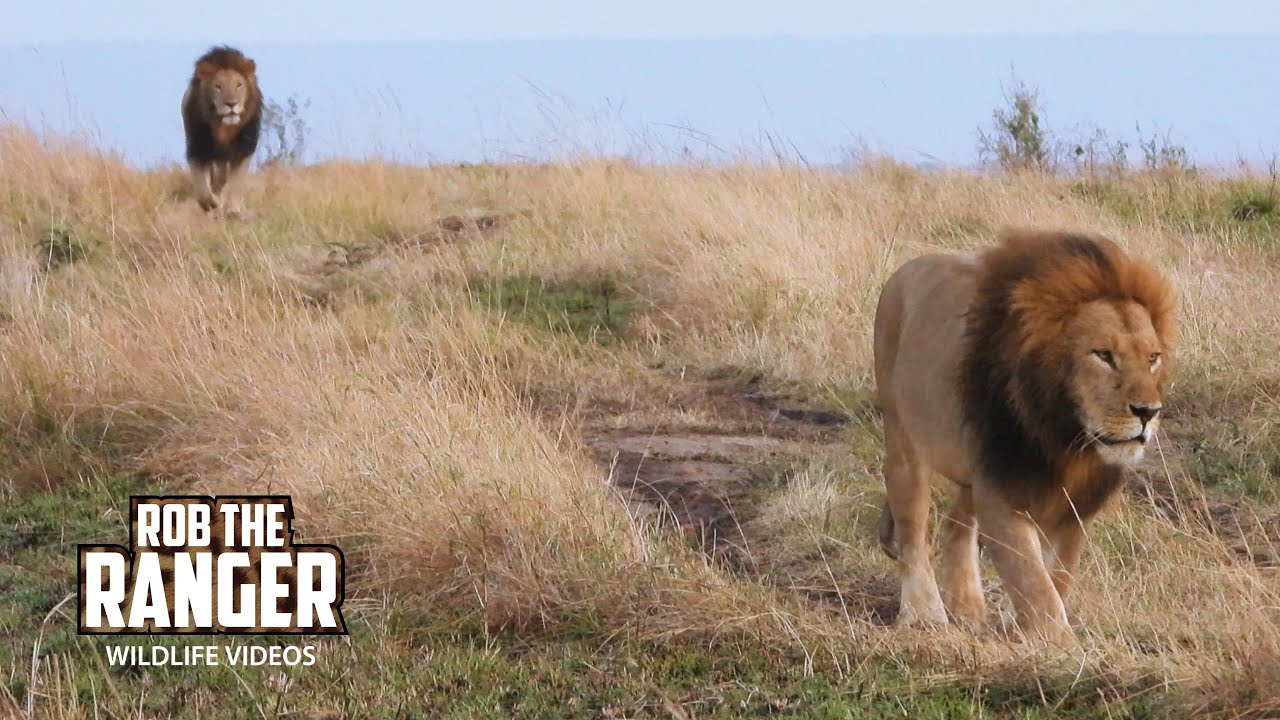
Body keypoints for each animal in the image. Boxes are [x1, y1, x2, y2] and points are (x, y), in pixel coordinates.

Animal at [181, 46, 262, 217]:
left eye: (239, 85)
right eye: (218, 87)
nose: (231, 104)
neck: (224, 129)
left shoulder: (244, 149)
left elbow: (237, 181)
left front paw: (232, 209)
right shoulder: (197, 150)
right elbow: (202, 188)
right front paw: (211, 204)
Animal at [872, 229, 1175, 645]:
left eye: (1153, 358)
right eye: (1103, 355)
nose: (1148, 412)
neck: (1065, 440)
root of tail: (905, 269)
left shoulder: (1073, 506)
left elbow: (1056, 577)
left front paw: (1025, 631)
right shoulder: (1003, 491)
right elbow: (1035, 584)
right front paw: (1060, 646)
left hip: (971, 469)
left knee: (956, 525)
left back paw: (968, 610)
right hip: (905, 441)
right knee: (913, 527)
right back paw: (925, 615)